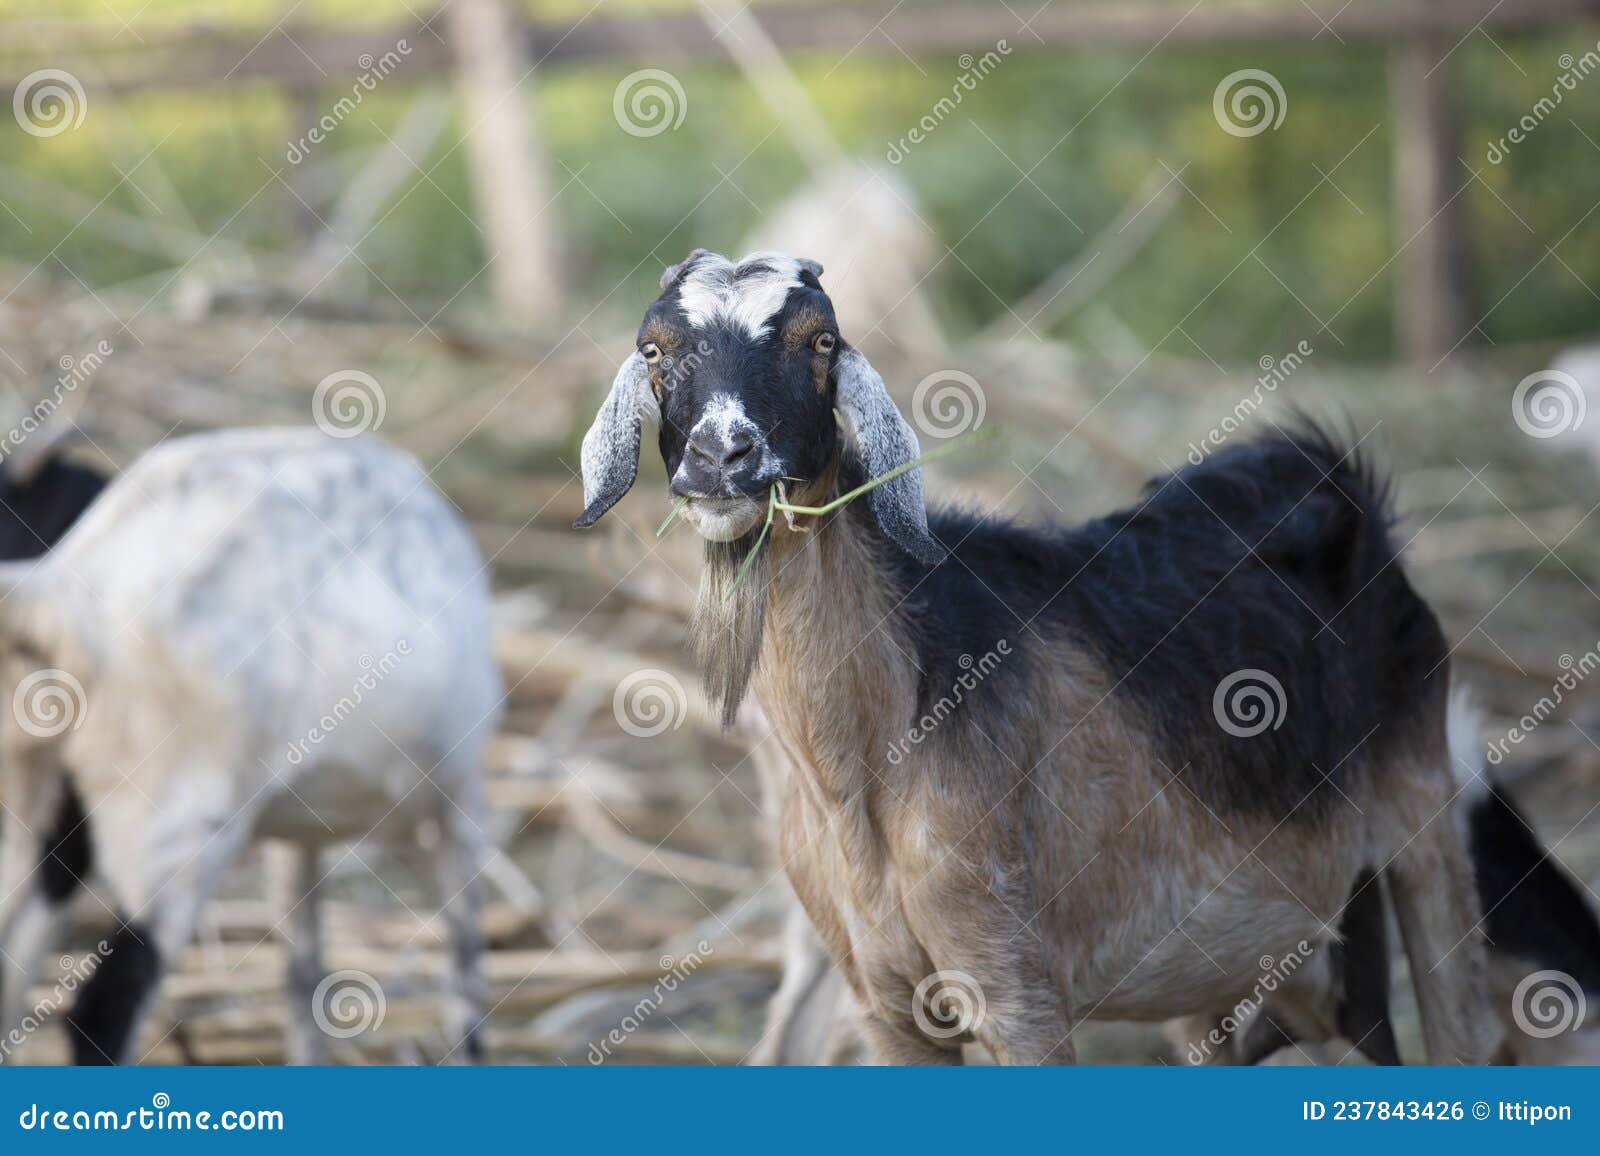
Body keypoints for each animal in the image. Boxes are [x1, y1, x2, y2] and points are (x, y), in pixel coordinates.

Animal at [0, 427, 500, 1064]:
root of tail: (63, 590)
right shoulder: (459, 797)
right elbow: (466, 982)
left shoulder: (299, 834)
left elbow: (305, 981)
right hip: (175, 826)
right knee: (104, 1008)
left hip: (32, 797)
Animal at [574, 248, 1494, 1064]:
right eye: (654, 350)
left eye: (819, 341)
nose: (721, 457)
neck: (873, 752)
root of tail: (1338, 481)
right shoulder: (886, 1008)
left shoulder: (1016, 988)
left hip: (1424, 816)